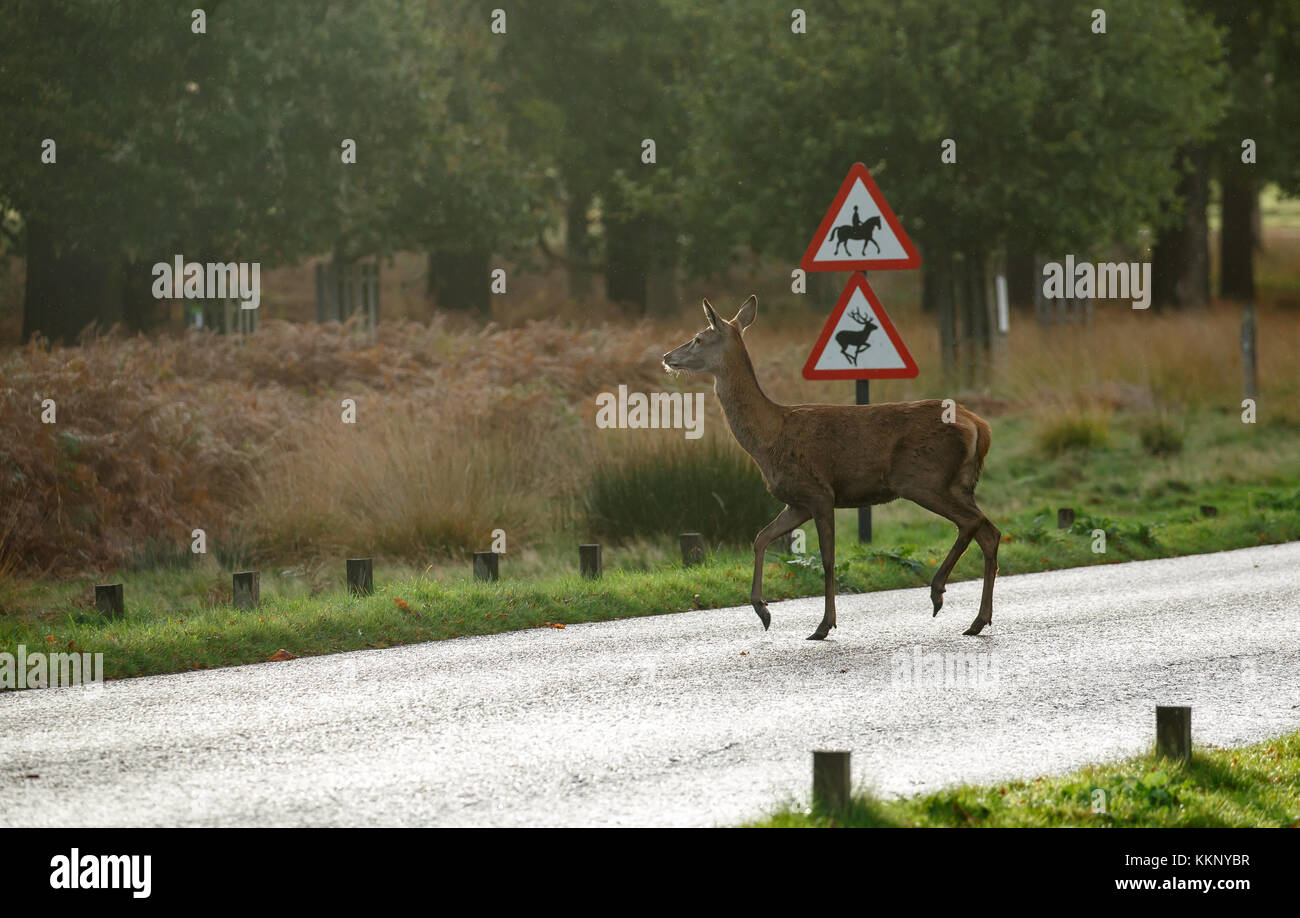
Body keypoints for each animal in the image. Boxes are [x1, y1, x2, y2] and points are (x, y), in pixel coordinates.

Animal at [662, 295, 999, 640]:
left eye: (698, 338)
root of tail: (979, 425)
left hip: (922, 479)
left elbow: (827, 558)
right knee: (990, 532)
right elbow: (760, 538)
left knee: (971, 523)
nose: (666, 357)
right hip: (960, 484)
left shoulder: (819, 491)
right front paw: (762, 610)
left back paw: (938, 590)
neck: (769, 437)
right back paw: (978, 620)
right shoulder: (797, 501)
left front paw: (824, 625)